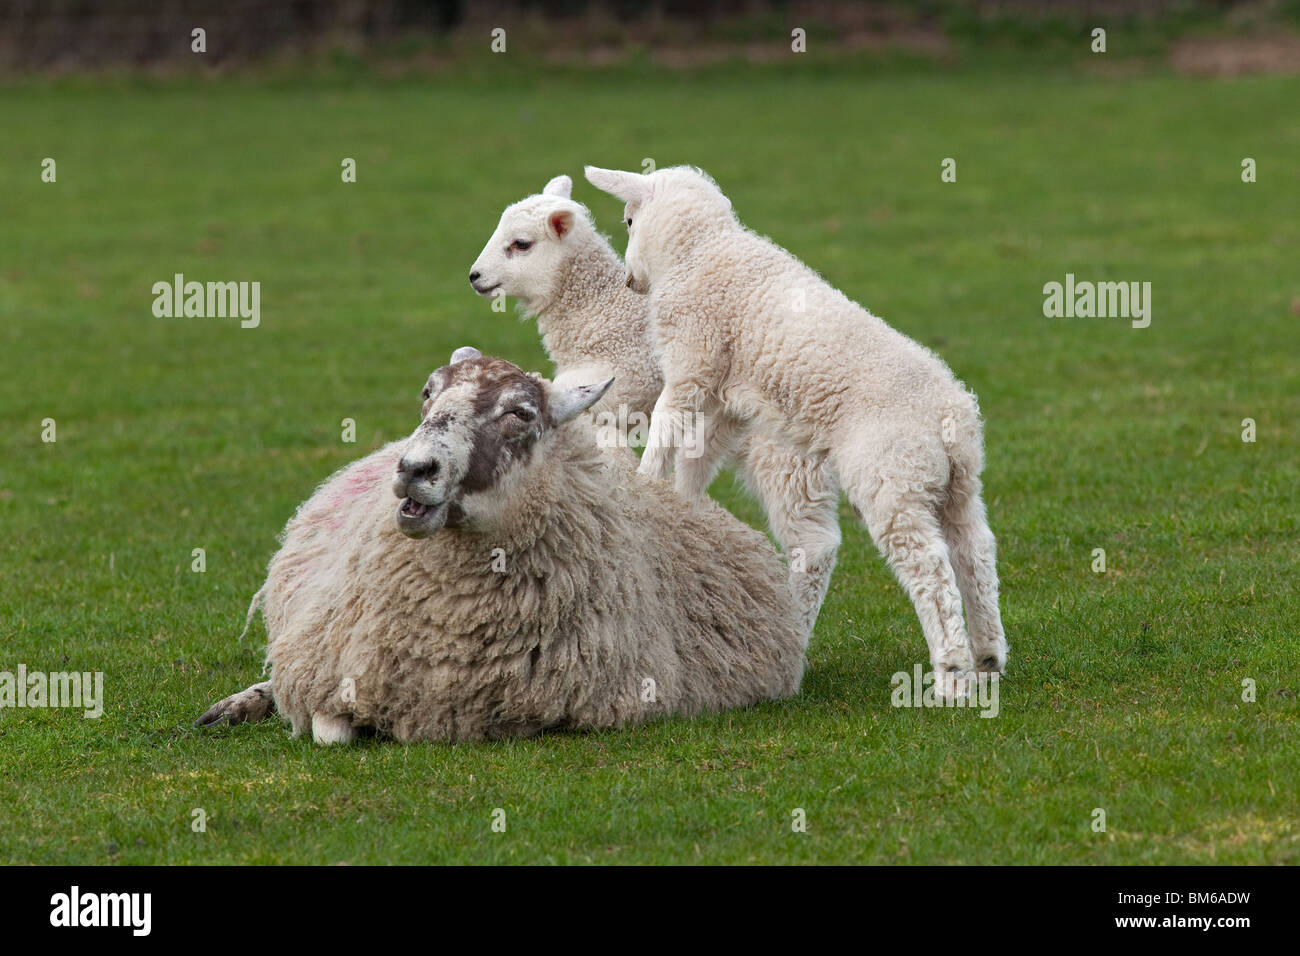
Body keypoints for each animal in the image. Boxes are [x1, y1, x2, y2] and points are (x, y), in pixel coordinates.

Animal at [469, 174, 841, 634]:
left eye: (521, 244)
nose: (475, 276)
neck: (600, 318)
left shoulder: (622, 392)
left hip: (785, 452)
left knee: (814, 544)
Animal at [584, 164, 1008, 696]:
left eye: (627, 220)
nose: (630, 281)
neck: (701, 250)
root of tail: (949, 420)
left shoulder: (693, 356)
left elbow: (667, 426)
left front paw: (645, 481)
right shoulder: (727, 396)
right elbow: (699, 451)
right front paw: (685, 503)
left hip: (892, 477)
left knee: (929, 565)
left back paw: (952, 673)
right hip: (960, 484)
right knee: (976, 550)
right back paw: (989, 655)